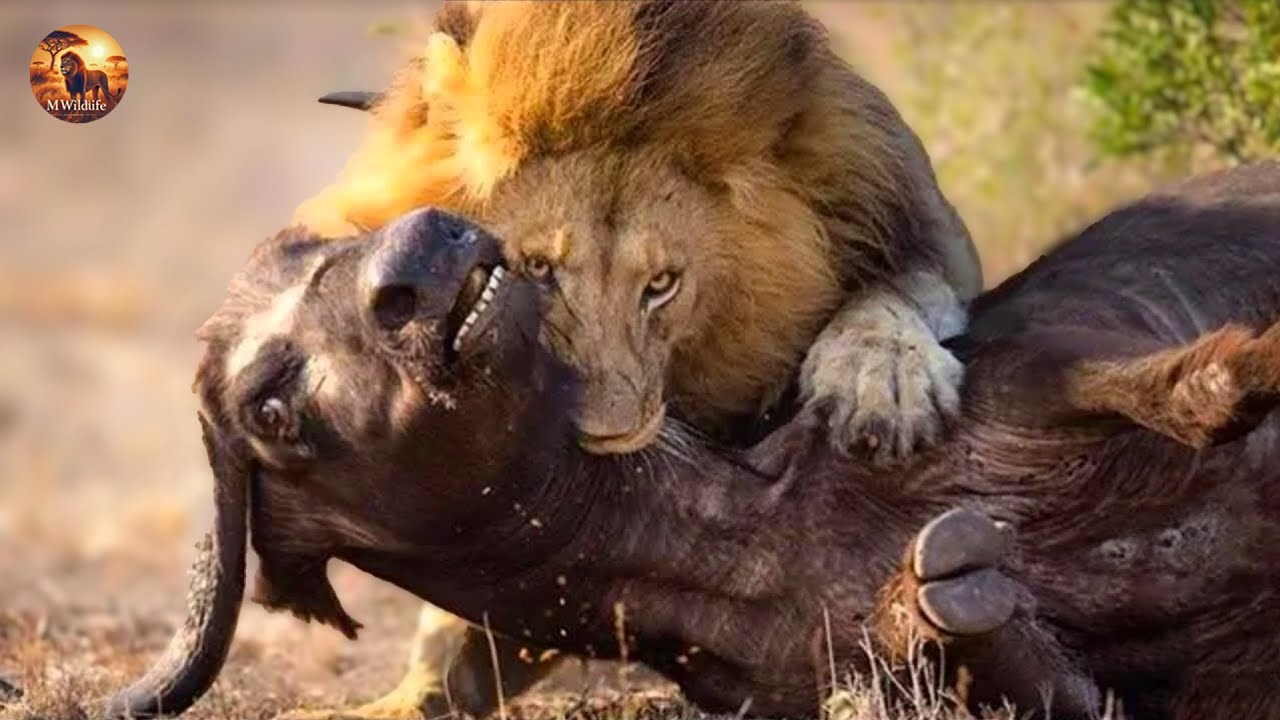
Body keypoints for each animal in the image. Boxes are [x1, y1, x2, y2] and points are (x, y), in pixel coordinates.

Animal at [284, 1, 981, 717]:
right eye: (539, 268)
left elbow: (893, 295)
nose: (605, 435)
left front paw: (882, 382)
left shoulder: (926, 234)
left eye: (662, 284)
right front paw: (402, 697)